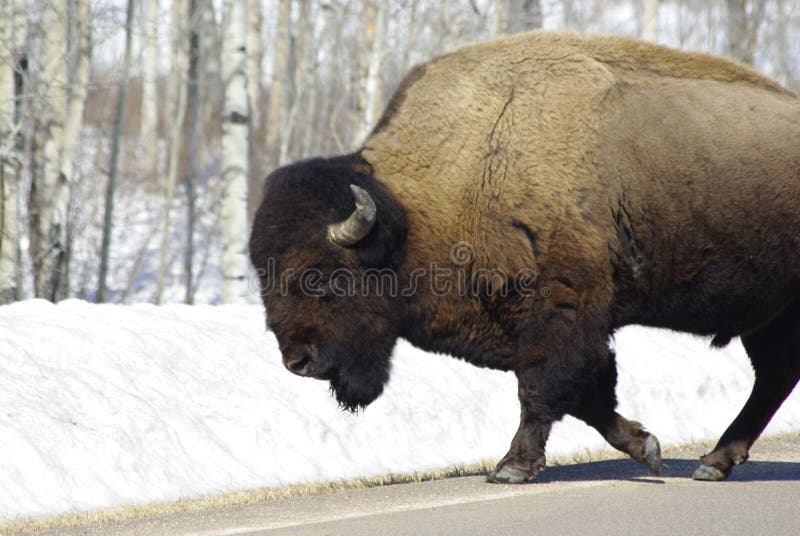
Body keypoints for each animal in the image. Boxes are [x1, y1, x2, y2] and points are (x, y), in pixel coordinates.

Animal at [249, 32, 800, 483]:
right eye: (265, 276)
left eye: (321, 277)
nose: (298, 361)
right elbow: (589, 394)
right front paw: (646, 447)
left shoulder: (559, 313)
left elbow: (545, 386)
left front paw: (511, 467)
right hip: (770, 316)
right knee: (774, 376)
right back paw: (714, 463)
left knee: (773, 377)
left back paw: (714, 461)